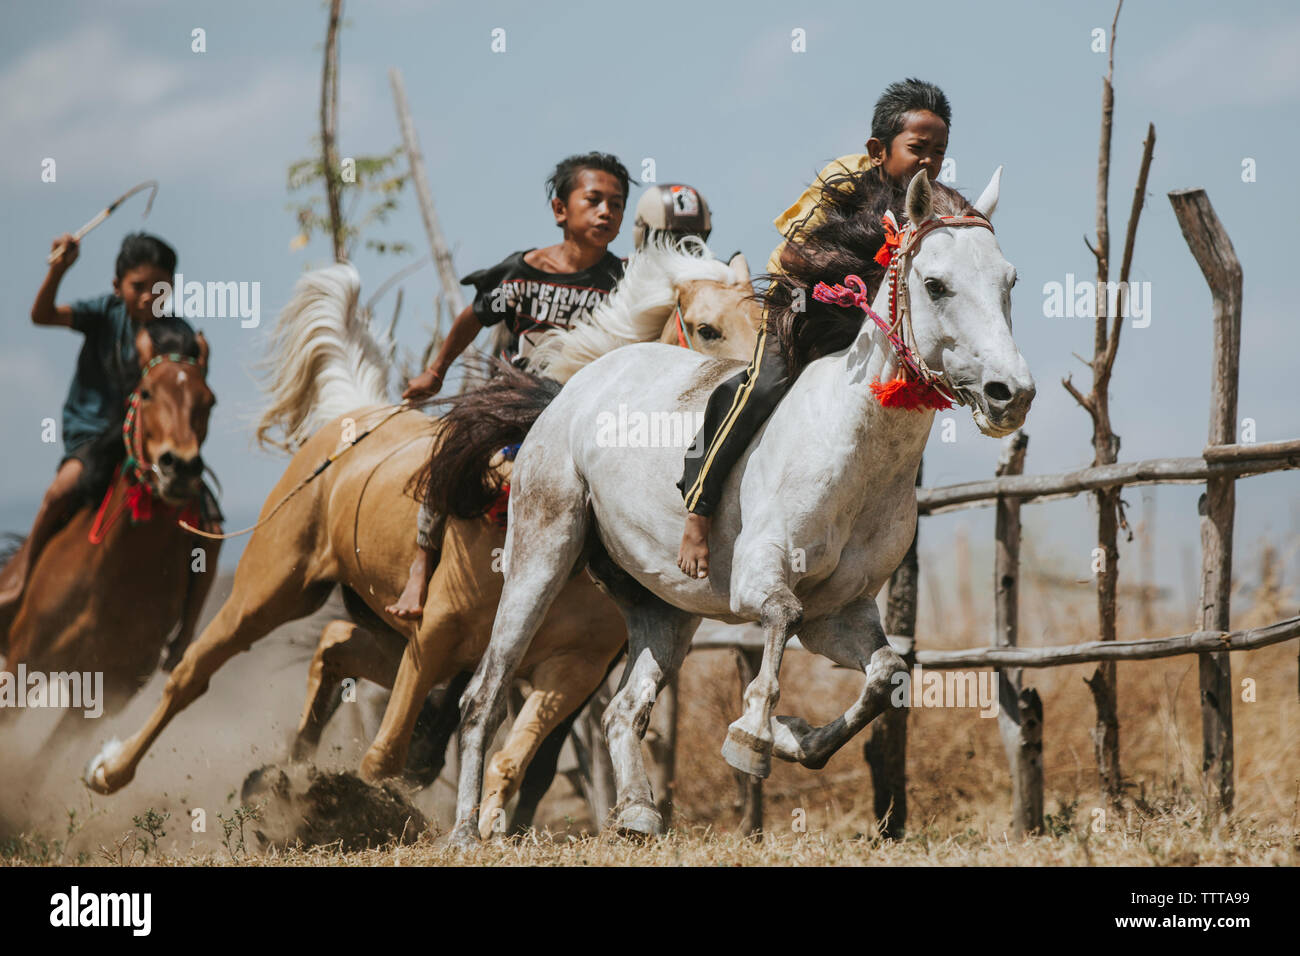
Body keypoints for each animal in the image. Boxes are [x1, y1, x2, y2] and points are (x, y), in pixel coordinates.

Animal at [1, 325, 218, 741]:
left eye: (209, 401)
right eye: (146, 391)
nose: (180, 466)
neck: (113, 576)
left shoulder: (105, 698)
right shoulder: (22, 664)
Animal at [85, 240, 763, 838]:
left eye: (765, 319)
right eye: (706, 329)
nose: (752, 397)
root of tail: (352, 417)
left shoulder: (570, 668)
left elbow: (510, 759)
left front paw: (487, 824)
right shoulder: (437, 636)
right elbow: (385, 757)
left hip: (390, 635)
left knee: (333, 648)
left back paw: (287, 771)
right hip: (272, 589)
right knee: (193, 672)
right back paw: (110, 771)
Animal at [431, 169, 1036, 844]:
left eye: (1009, 280)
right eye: (935, 285)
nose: (1011, 394)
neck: (857, 451)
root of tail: (573, 388)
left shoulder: (840, 614)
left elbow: (886, 675)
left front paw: (794, 736)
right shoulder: (759, 579)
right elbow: (780, 620)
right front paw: (753, 736)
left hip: (663, 607)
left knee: (624, 709)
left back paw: (638, 811)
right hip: (540, 553)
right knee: (483, 695)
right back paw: (466, 831)